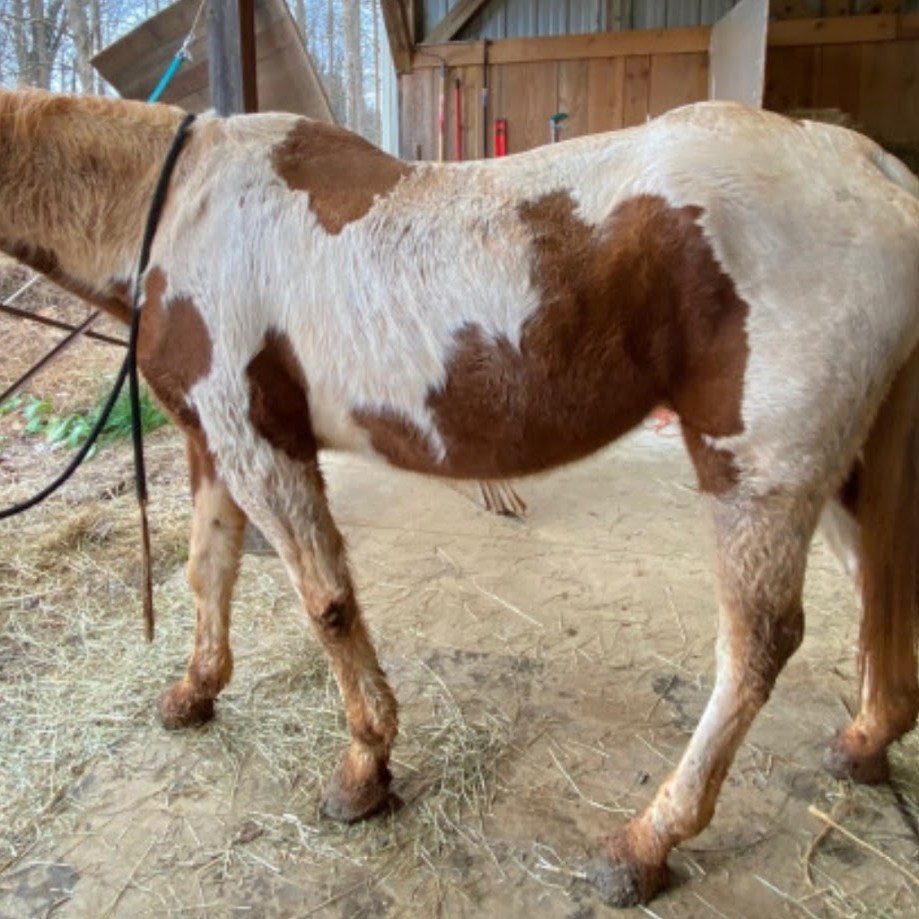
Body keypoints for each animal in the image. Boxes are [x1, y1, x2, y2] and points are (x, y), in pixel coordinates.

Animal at [2, 88, 918, 907]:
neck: (180, 209)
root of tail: (869, 171)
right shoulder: (214, 442)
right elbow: (208, 571)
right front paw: (195, 692)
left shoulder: (259, 444)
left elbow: (327, 603)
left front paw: (365, 769)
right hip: (838, 471)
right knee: (878, 590)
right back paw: (864, 740)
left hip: (757, 474)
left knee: (757, 645)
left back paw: (644, 842)